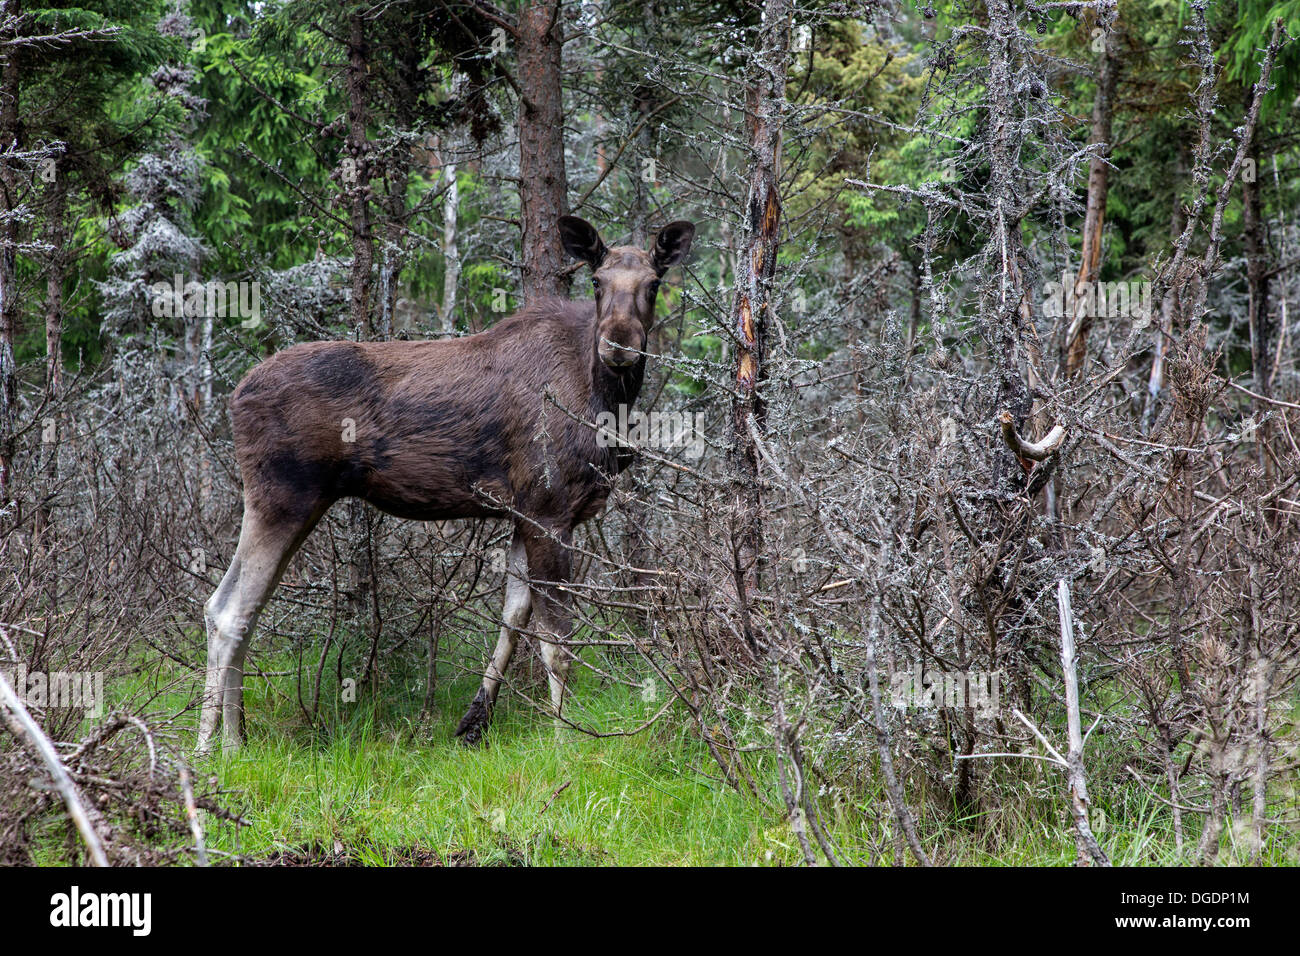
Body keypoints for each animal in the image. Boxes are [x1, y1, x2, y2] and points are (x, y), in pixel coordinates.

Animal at [196, 215, 696, 755]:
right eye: (598, 282)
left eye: (654, 284)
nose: (619, 345)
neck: (605, 402)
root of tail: (234, 398)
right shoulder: (548, 508)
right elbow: (557, 641)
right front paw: (565, 737)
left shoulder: (523, 511)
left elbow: (513, 617)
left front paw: (475, 721)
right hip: (281, 497)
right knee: (229, 611)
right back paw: (211, 747)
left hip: (297, 503)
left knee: (234, 608)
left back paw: (232, 741)